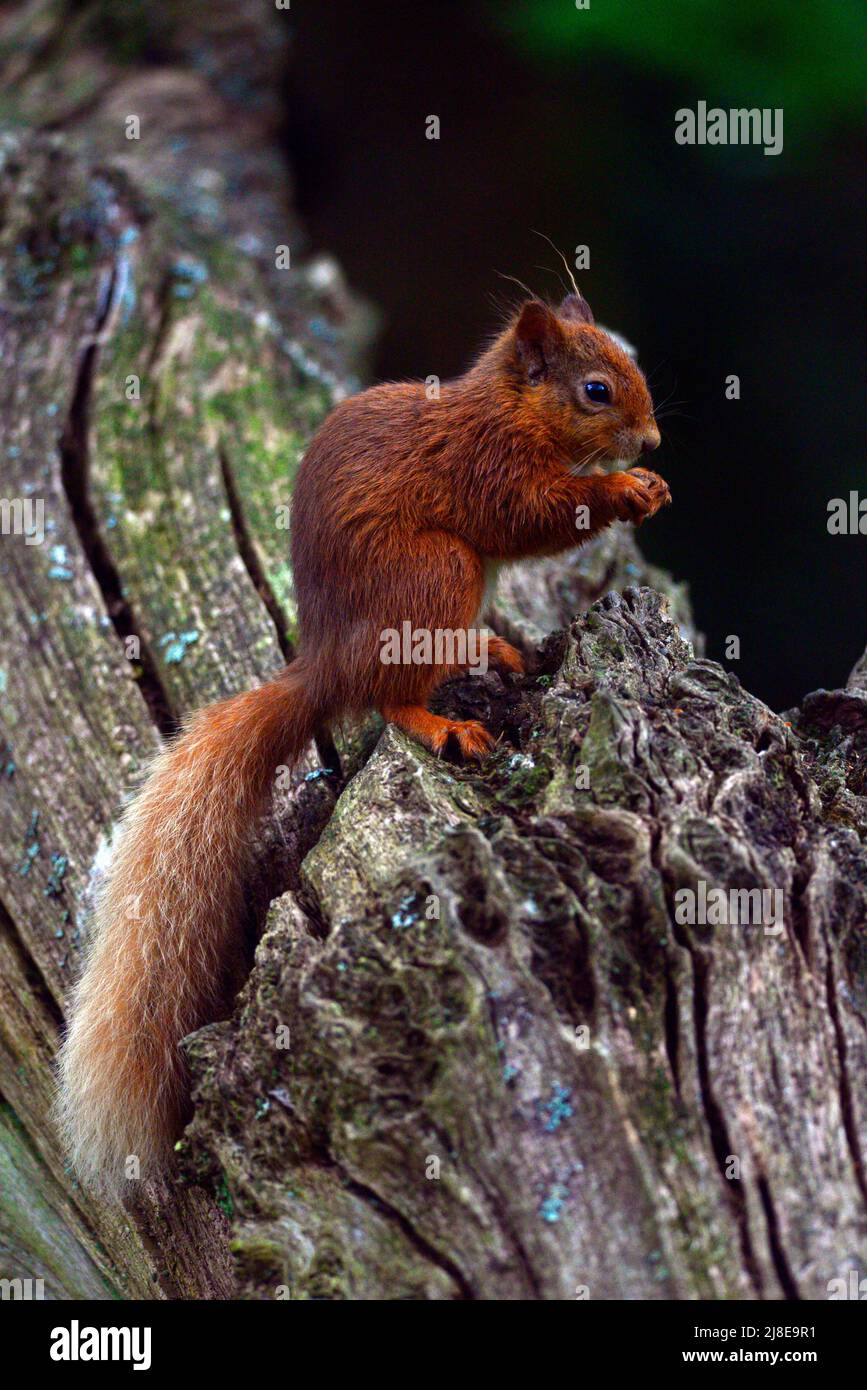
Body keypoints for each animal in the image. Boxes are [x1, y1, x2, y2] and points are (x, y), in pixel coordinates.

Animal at [57, 291, 670, 1193]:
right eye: (595, 390)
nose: (651, 442)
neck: (507, 410)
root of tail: (326, 667)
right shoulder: (485, 470)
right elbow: (531, 516)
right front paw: (625, 488)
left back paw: (490, 651)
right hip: (437, 572)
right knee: (392, 699)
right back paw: (442, 720)